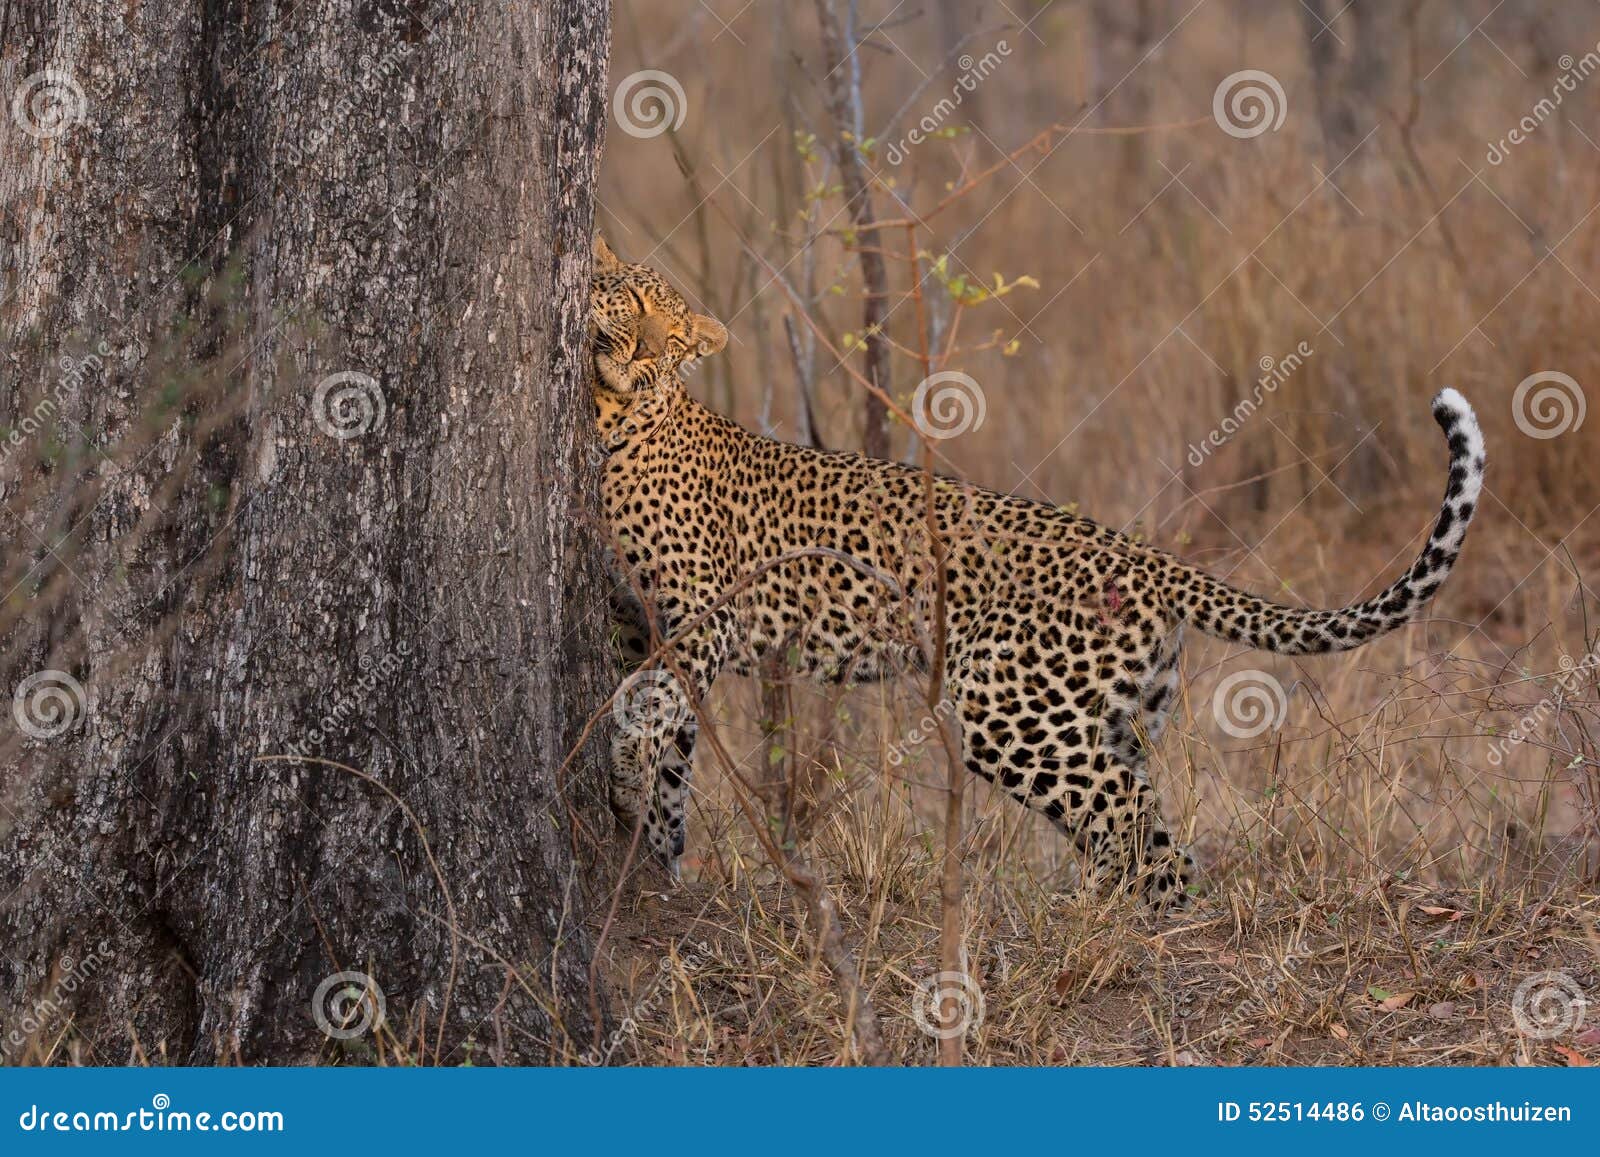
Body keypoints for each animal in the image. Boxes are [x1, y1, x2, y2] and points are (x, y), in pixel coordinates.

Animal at [588, 235, 1486, 907]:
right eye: (631, 304)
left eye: (672, 336)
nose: (638, 354)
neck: (616, 416)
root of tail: (1145, 554)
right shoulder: (650, 623)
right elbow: (673, 739)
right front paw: (658, 848)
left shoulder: (703, 616)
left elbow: (646, 703)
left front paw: (626, 784)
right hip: (1116, 711)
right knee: (1138, 812)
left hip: (1008, 707)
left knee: (1136, 821)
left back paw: (1142, 928)